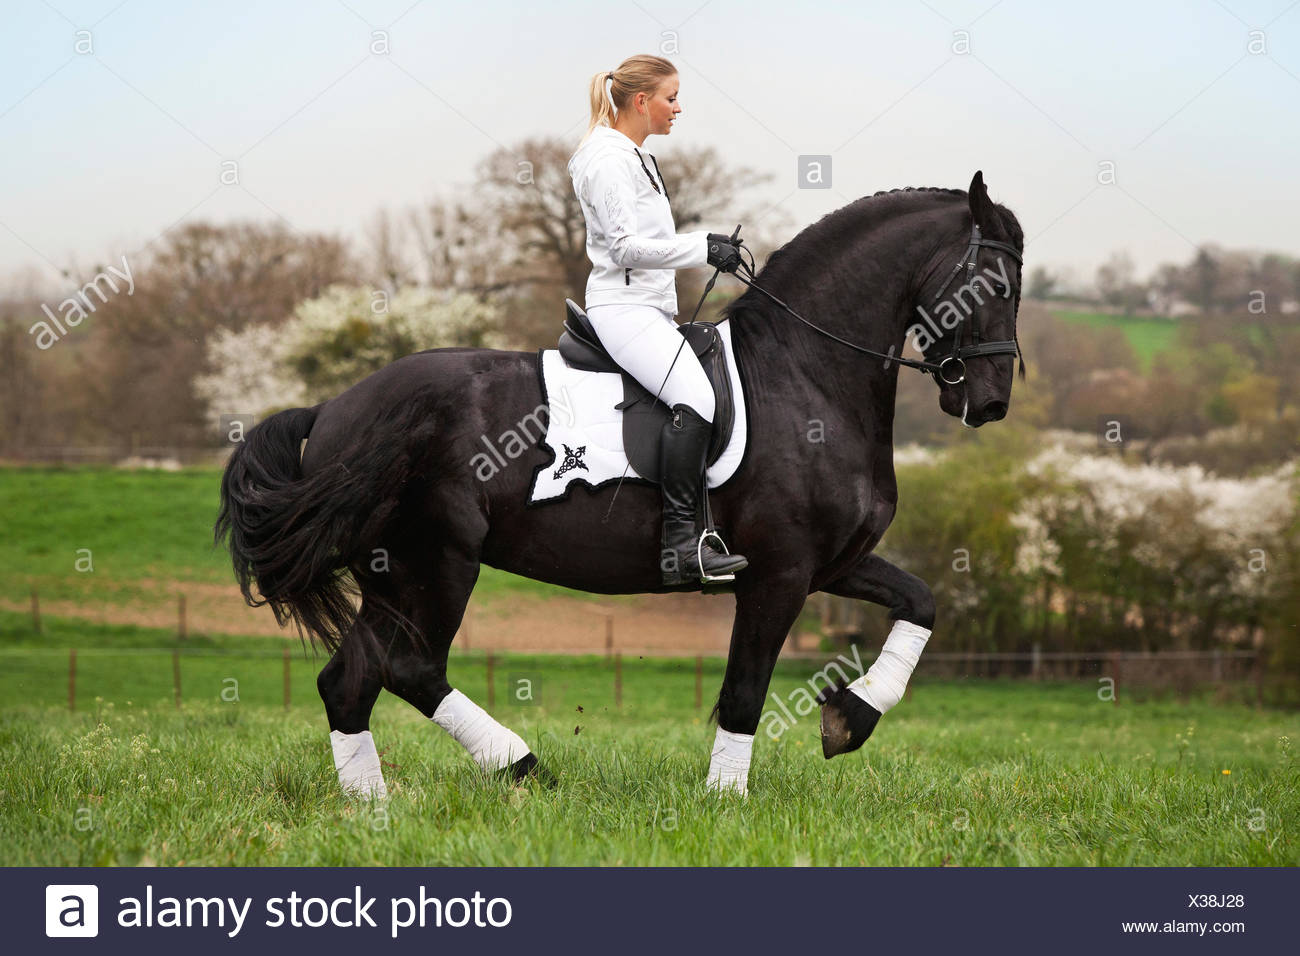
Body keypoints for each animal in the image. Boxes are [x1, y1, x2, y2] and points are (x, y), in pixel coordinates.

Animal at [215, 170, 1024, 797]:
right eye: (997, 283)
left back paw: (373, 808)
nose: (989, 403)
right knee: (409, 668)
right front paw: (725, 802)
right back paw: (525, 770)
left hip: (393, 575)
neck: (804, 372)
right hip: (435, 561)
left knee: (350, 680)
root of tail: (334, 408)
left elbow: (921, 601)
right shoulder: (781, 571)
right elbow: (744, 690)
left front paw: (850, 717)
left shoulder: (834, 563)